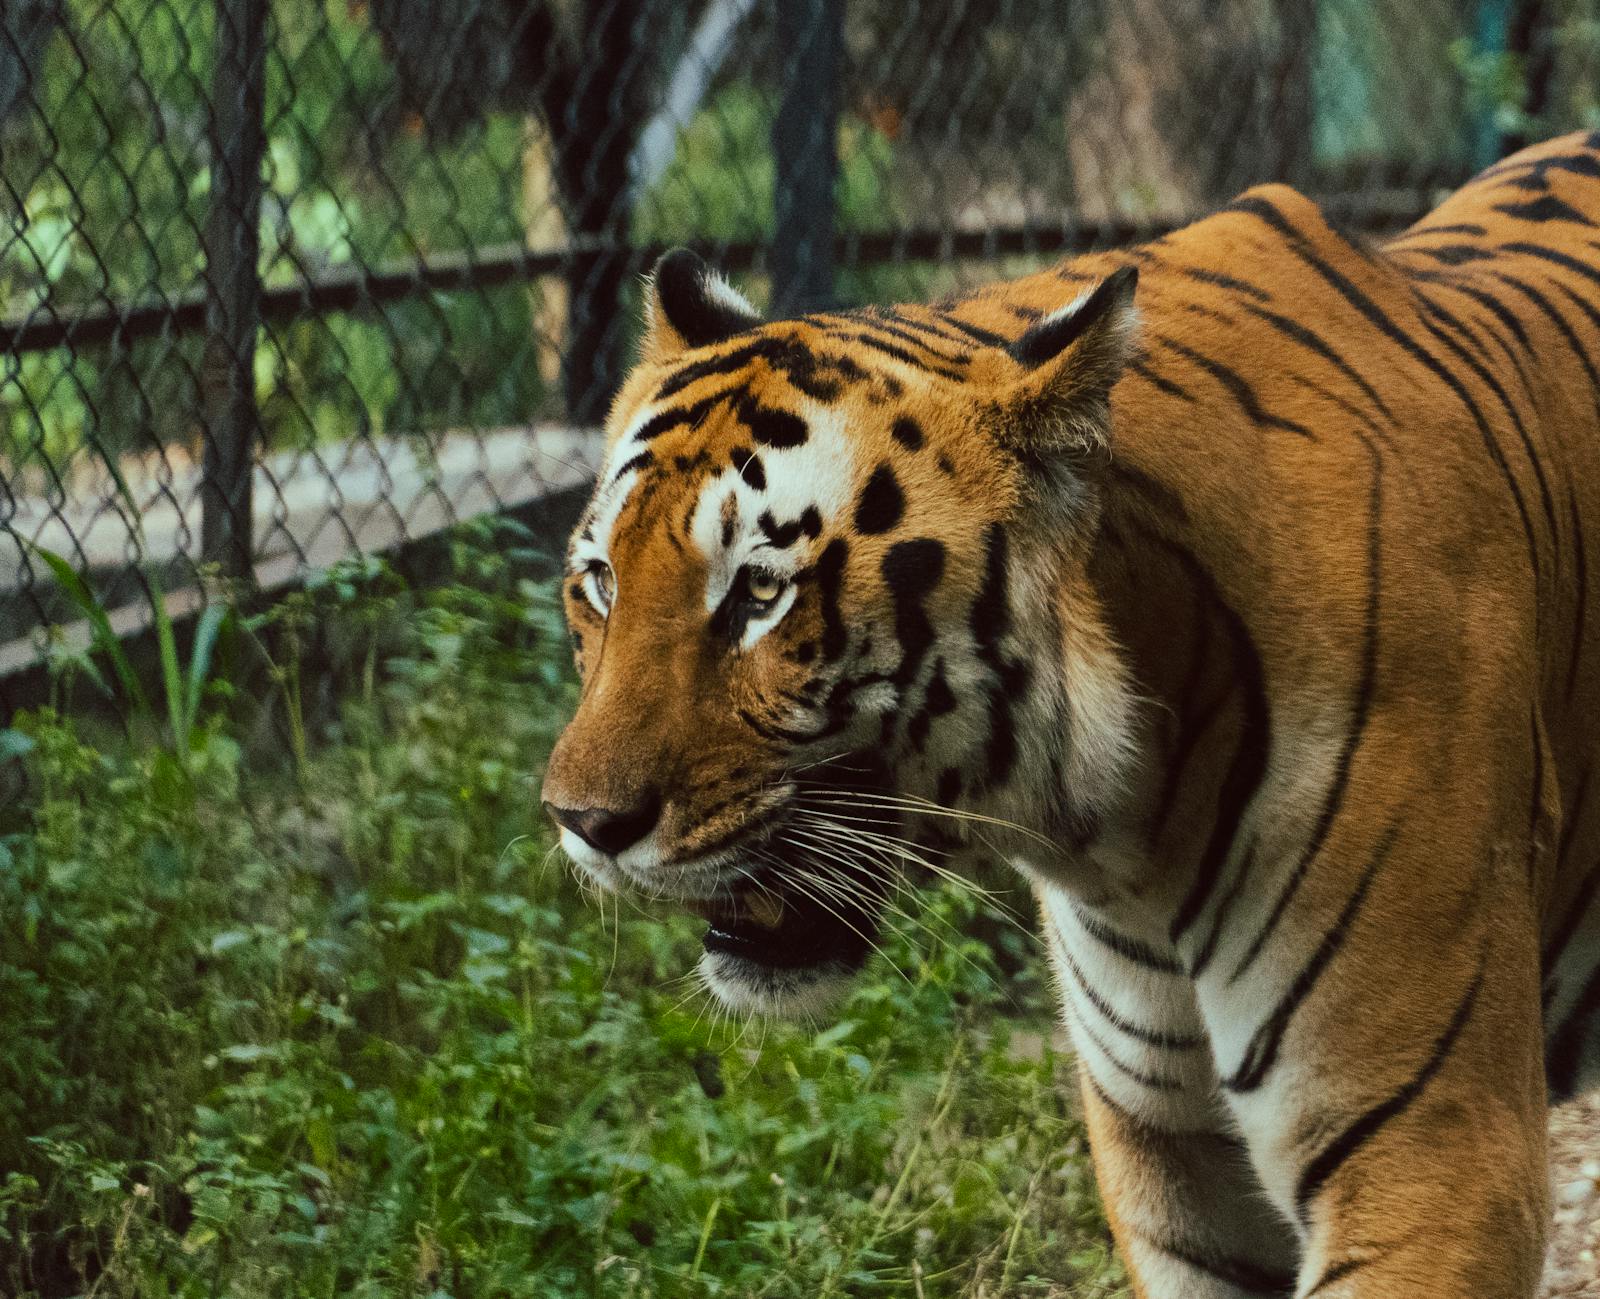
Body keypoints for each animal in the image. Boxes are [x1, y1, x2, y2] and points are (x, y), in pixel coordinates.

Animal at [540, 130, 1600, 1297]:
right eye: (599, 582)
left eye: (761, 594)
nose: (581, 823)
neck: (1131, 831)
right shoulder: (1176, 1161)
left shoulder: (1434, 1164)